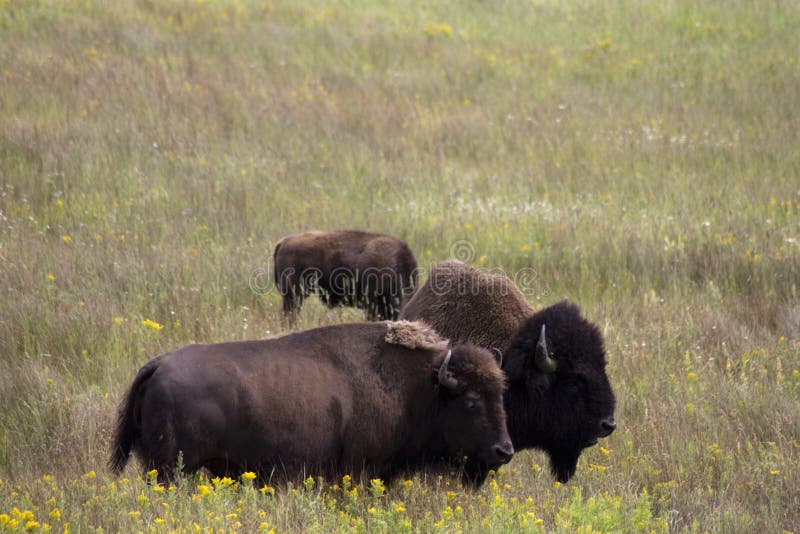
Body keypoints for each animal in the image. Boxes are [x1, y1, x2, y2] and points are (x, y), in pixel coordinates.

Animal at [109, 320, 513, 486]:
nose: (504, 451)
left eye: (501, 395)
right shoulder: (360, 468)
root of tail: (158, 364)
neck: (422, 387)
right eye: (471, 401)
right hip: (172, 471)